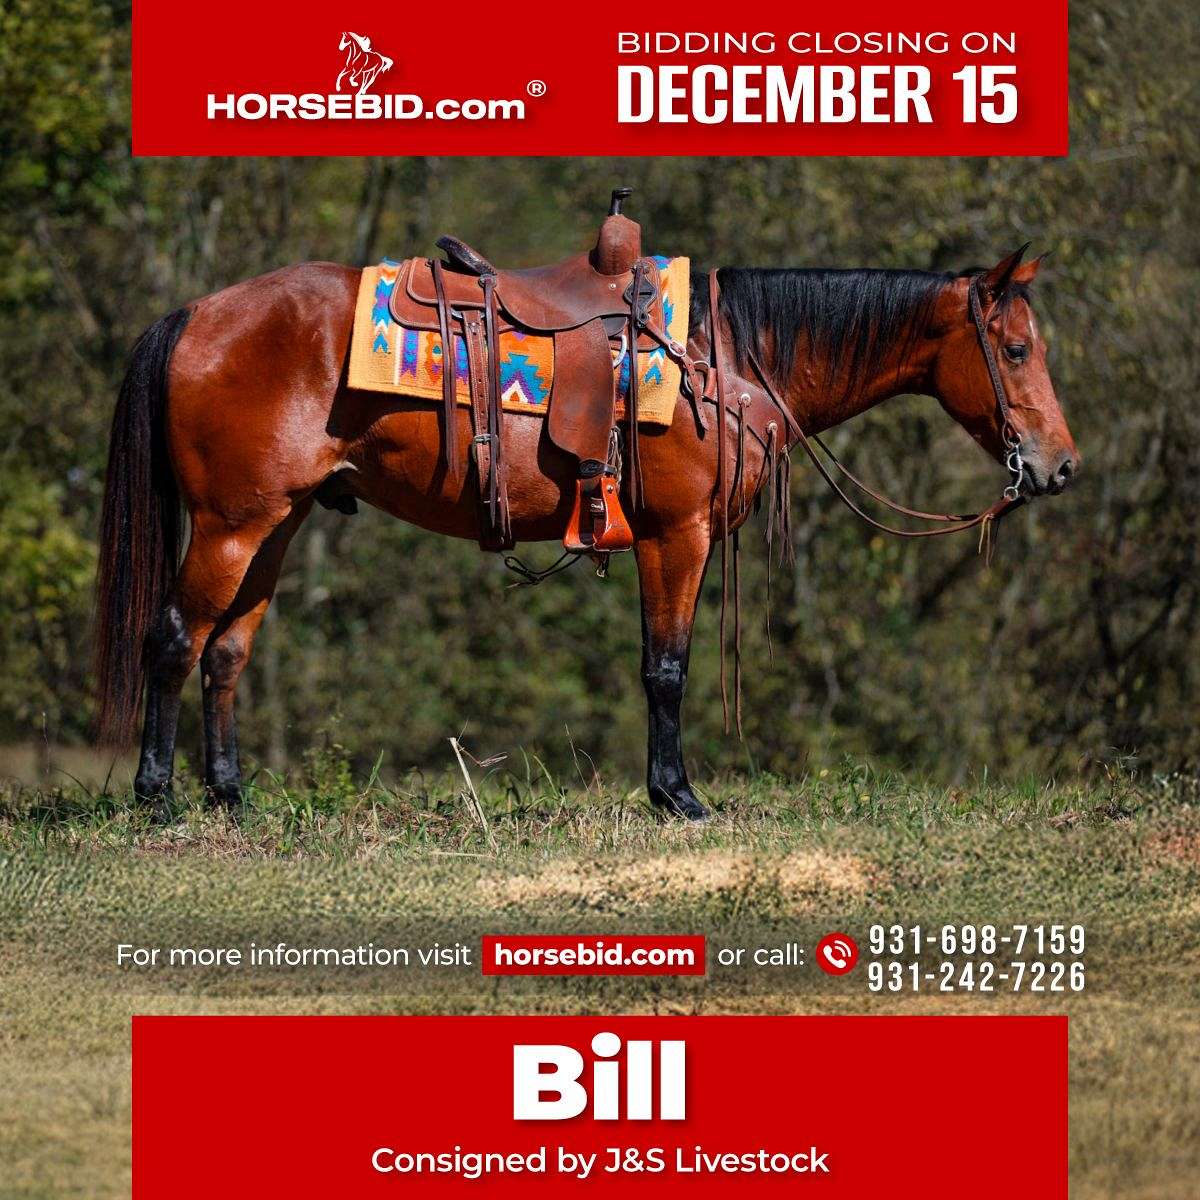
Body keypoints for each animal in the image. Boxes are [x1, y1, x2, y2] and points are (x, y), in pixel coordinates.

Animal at [93, 244, 1078, 821]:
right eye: (1017, 350)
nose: (1061, 467)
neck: (721, 359)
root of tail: (196, 314)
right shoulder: (676, 535)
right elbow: (666, 668)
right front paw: (678, 797)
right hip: (231, 526)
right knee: (174, 641)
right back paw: (157, 798)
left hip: (276, 524)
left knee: (227, 652)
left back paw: (228, 795)